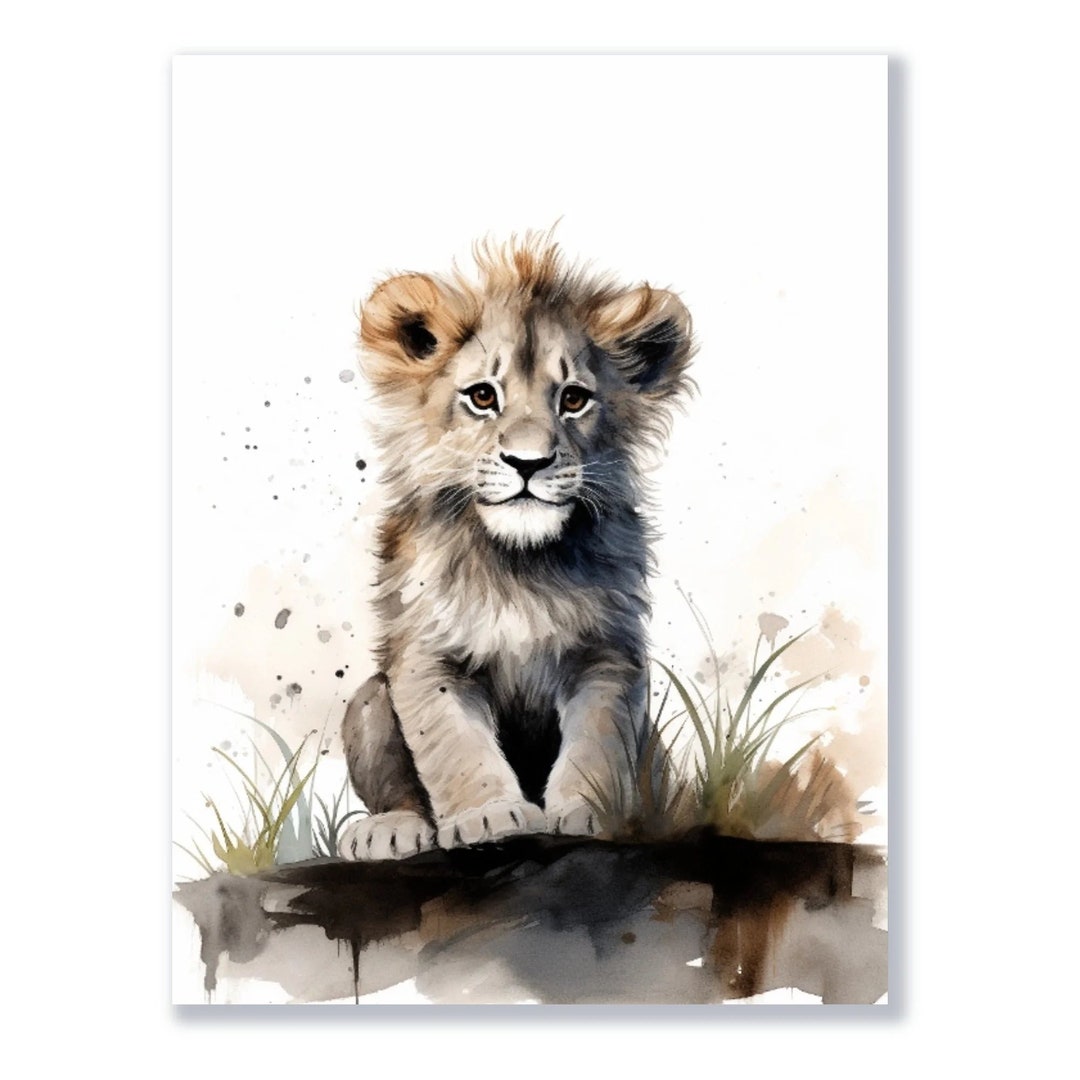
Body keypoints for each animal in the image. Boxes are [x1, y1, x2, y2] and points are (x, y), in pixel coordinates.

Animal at [338, 234, 695, 860]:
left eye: (574, 399)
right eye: (483, 396)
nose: (528, 463)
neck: (518, 564)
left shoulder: (607, 654)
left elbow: (597, 742)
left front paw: (590, 813)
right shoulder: (429, 658)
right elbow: (455, 746)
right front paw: (489, 815)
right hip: (368, 701)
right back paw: (389, 828)